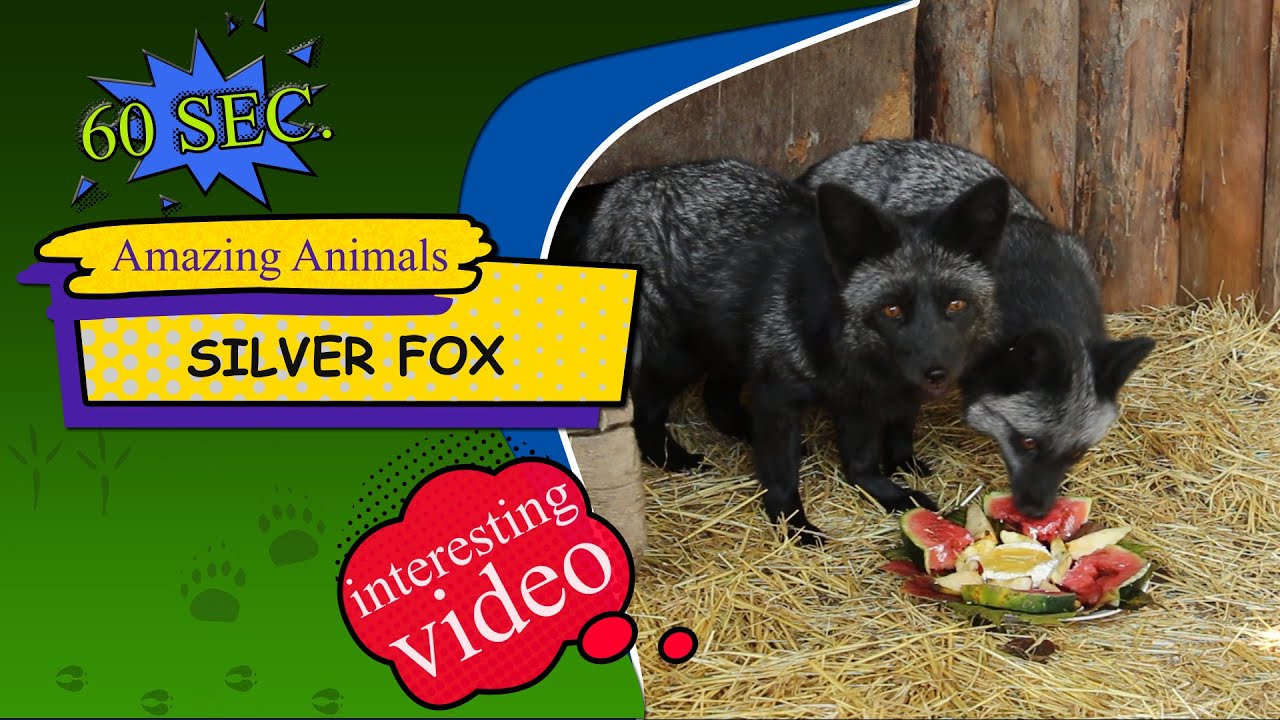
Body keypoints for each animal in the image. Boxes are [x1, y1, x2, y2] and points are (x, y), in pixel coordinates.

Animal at [577, 157, 1010, 543]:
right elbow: (783, 476)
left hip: (730, 346)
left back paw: (743, 430)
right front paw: (793, 524)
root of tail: (631, 183)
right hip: (680, 356)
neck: (850, 356)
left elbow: (862, 463)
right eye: (892, 310)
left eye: (956, 304)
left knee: (717, 399)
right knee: (648, 405)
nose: (936, 372)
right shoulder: (779, 397)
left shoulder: (861, 403)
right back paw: (670, 457)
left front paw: (890, 492)